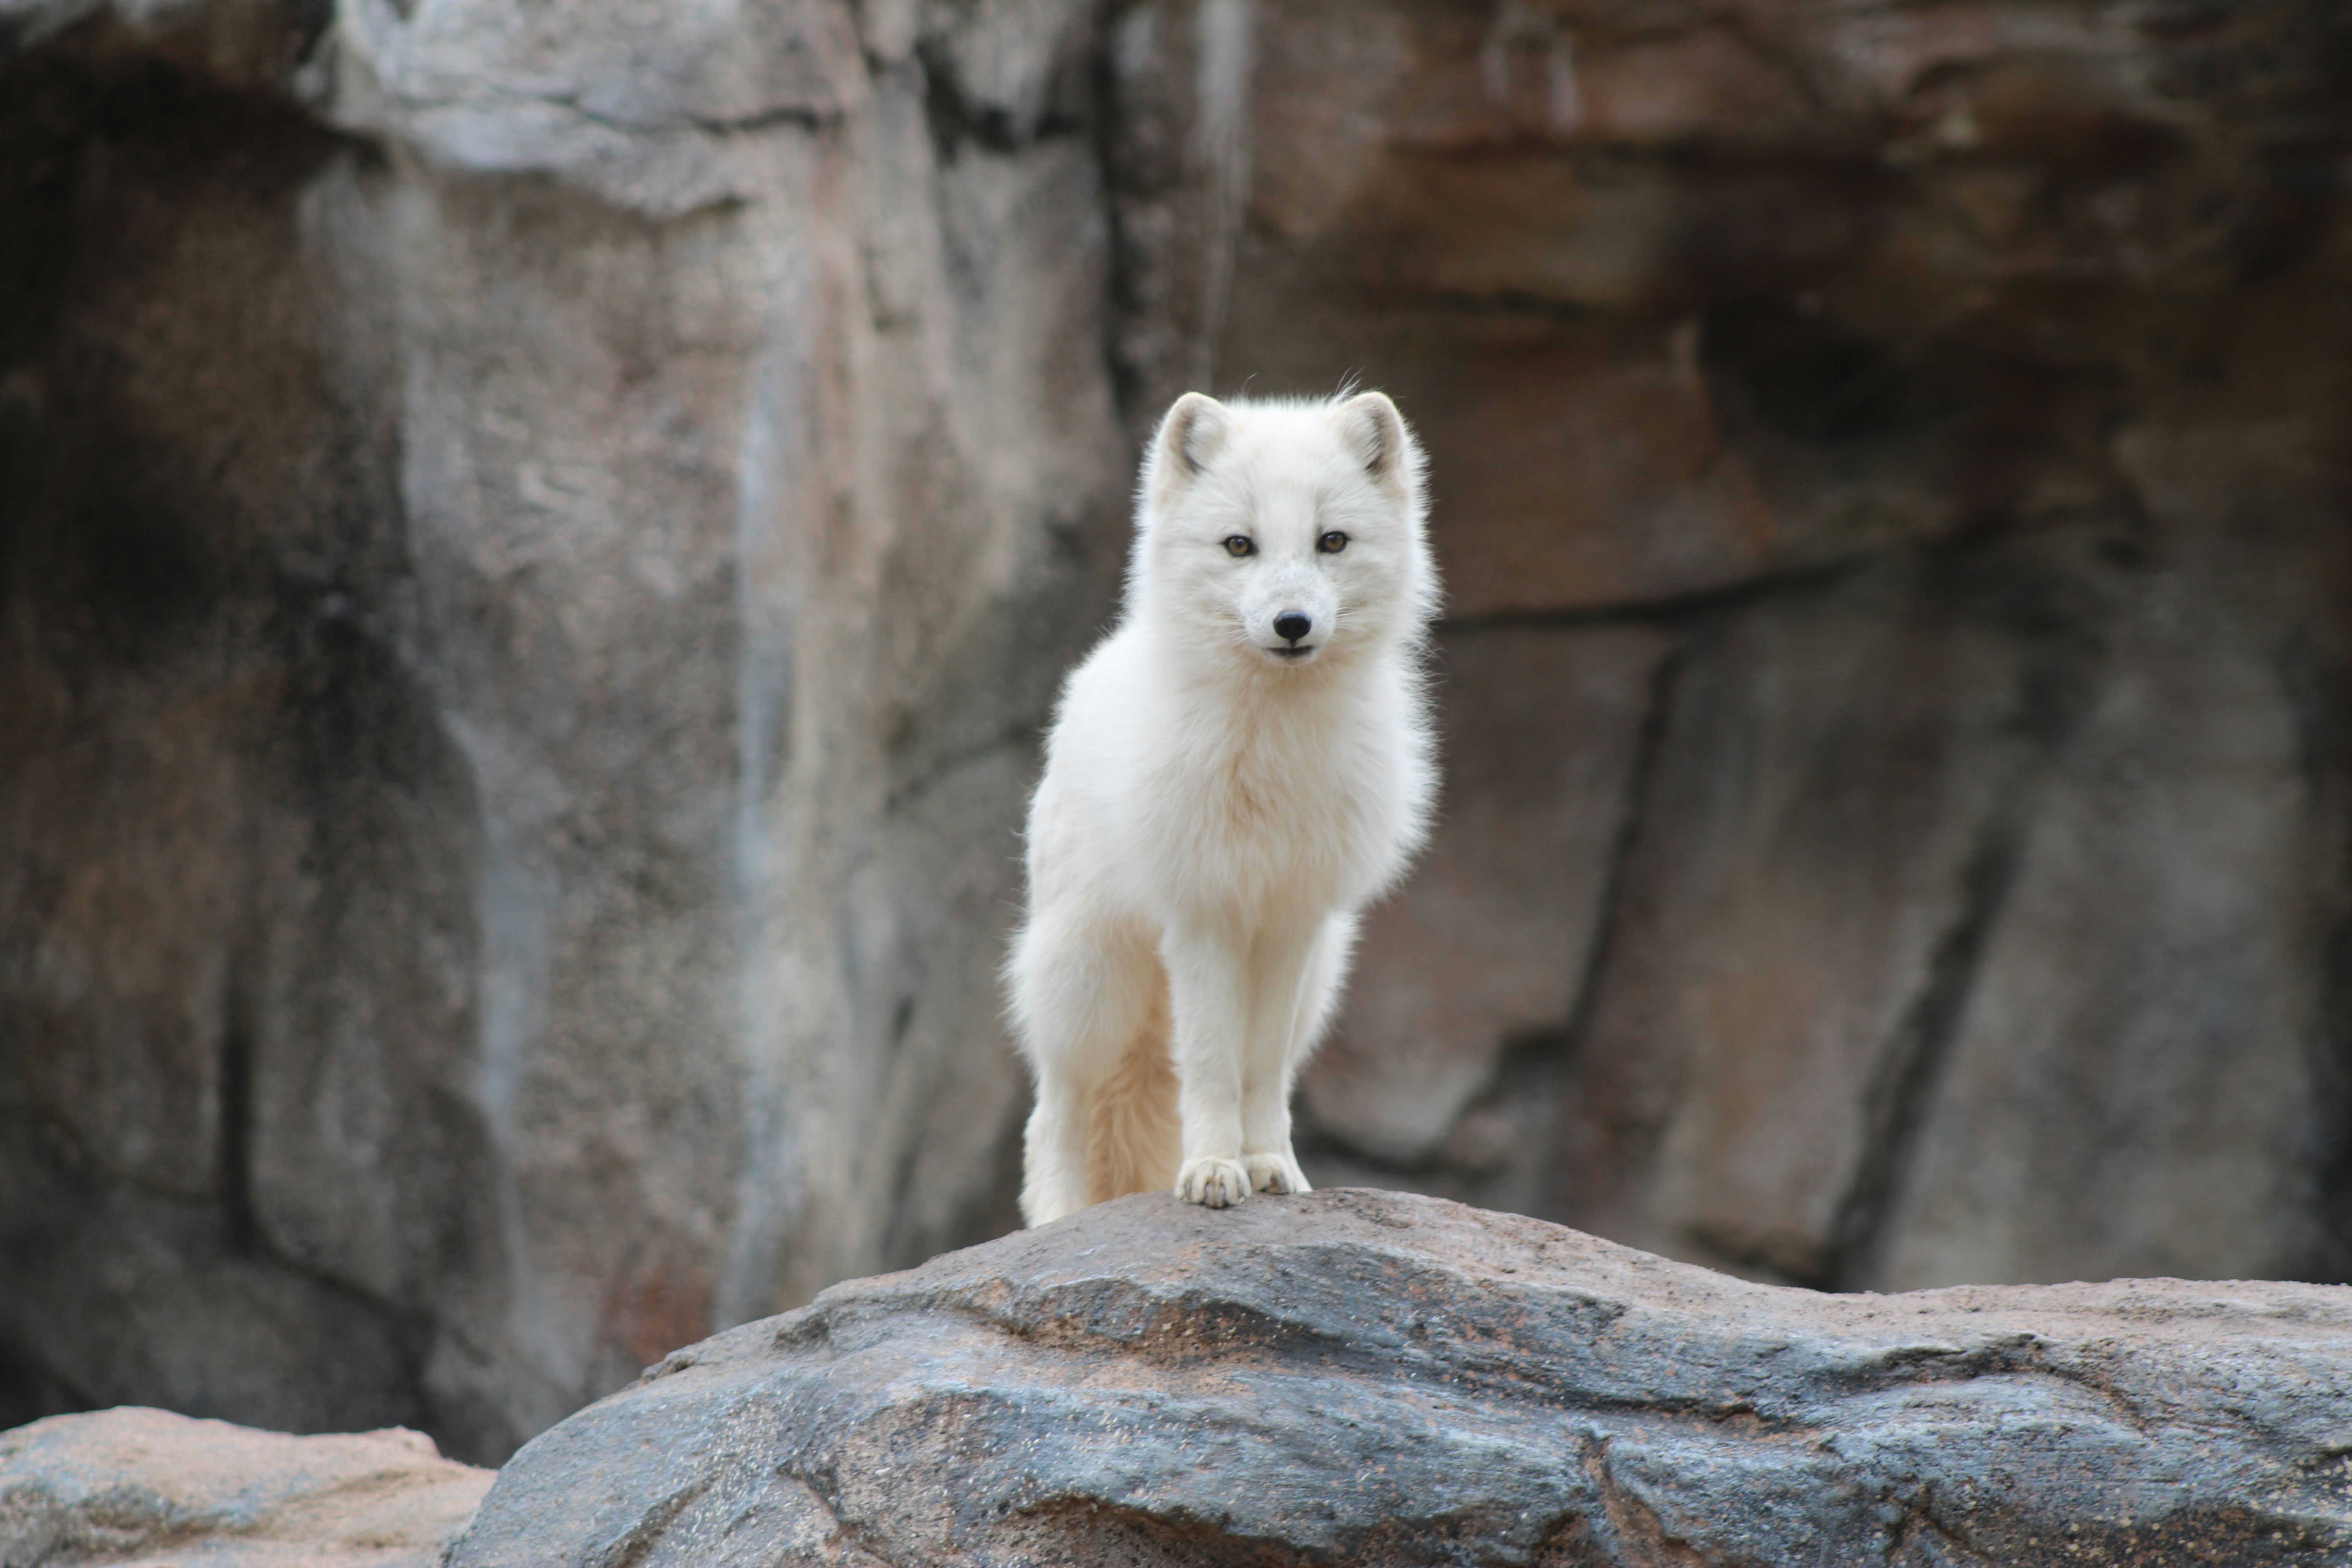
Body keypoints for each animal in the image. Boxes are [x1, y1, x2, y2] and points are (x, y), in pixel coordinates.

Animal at [1007, 389, 1439, 1224]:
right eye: (1240, 545)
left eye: (1332, 541)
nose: (1292, 624)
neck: (1273, 748)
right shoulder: (1204, 912)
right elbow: (1210, 1061)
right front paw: (1211, 1170)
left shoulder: (1289, 919)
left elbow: (1257, 1066)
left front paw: (1266, 1163)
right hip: (1089, 983)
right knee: (1056, 1110)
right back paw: (1060, 1217)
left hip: (1319, 984)